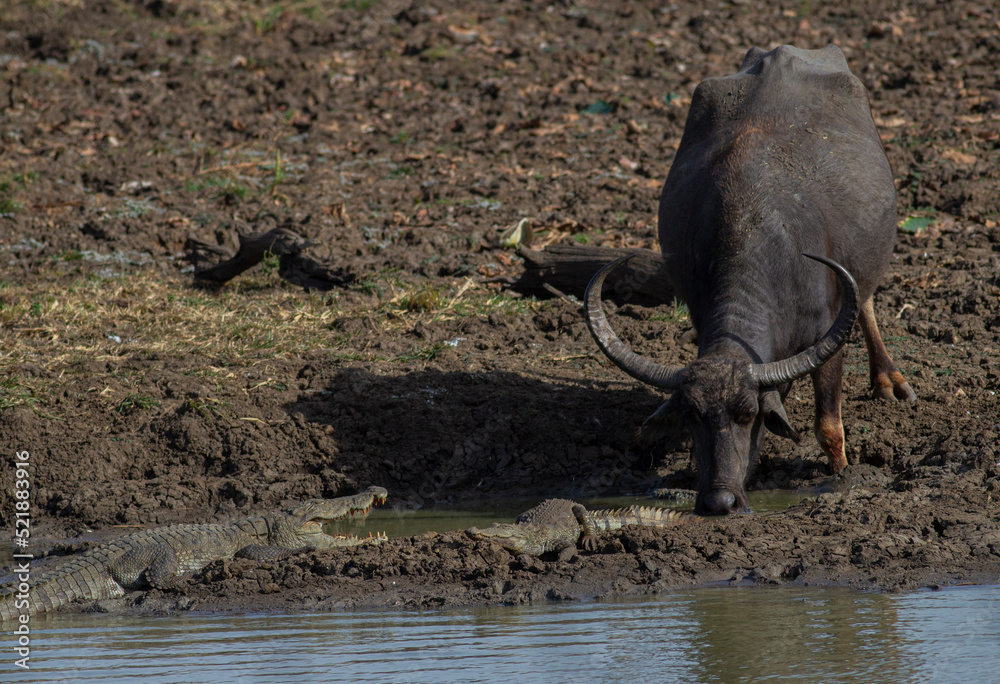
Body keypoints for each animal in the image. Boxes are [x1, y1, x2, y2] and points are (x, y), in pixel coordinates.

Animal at [585, 45, 916, 515]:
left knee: (866, 297)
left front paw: (840, 476)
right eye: (693, 416)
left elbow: (828, 428)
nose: (719, 501)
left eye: (747, 413)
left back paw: (890, 381)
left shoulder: (827, 341)